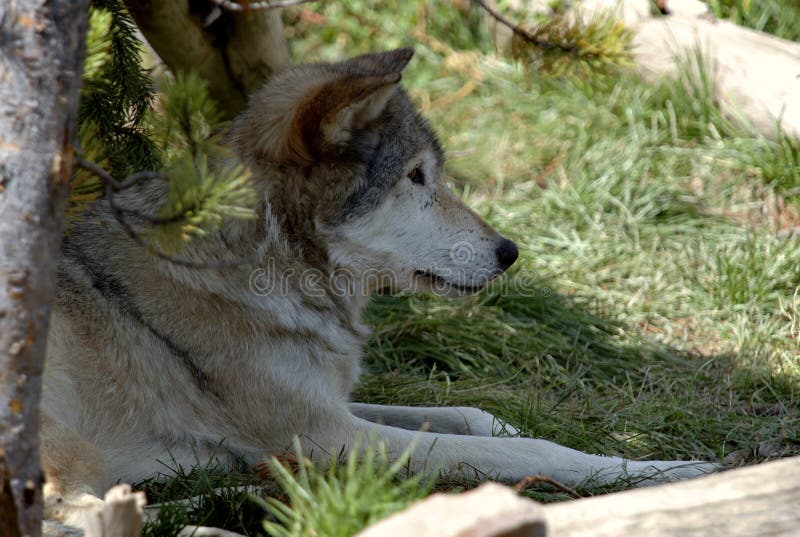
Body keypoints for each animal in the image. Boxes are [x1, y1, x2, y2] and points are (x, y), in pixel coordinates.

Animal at [43, 48, 715, 524]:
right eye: (416, 177)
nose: (510, 252)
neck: (278, 264)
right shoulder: (327, 434)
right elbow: (536, 453)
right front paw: (673, 470)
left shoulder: (337, 405)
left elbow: (475, 415)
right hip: (69, 439)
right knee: (76, 519)